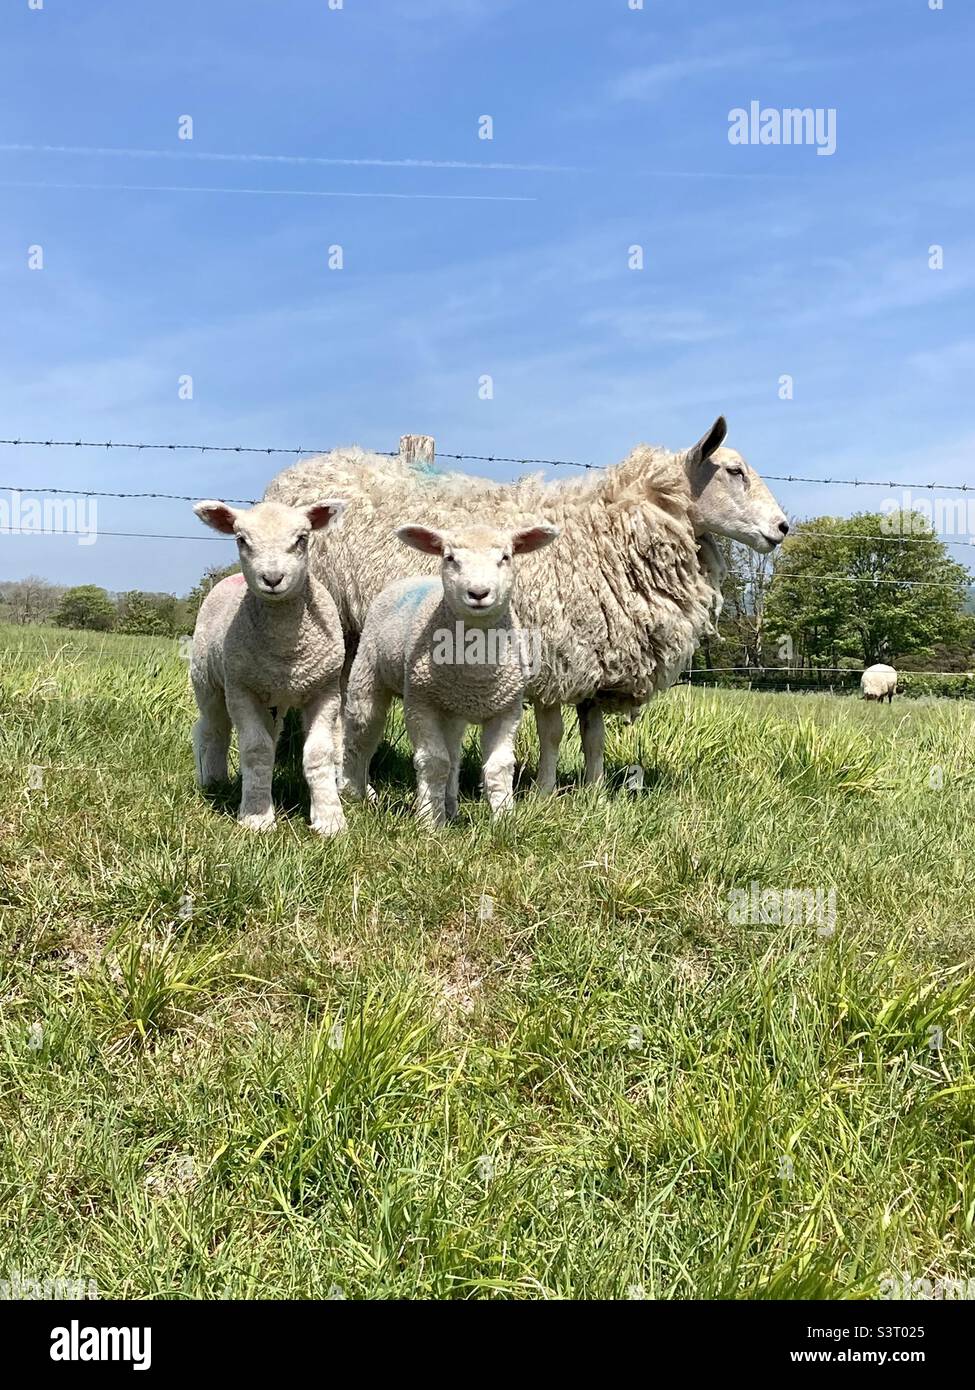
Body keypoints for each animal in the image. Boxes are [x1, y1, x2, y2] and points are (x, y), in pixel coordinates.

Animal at [190, 496, 348, 834]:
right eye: (241, 540)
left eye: (302, 539)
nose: (273, 579)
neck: (285, 651)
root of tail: (231, 578)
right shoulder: (241, 690)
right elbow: (255, 749)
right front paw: (256, 816)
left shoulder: (325, 690)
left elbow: (319, 752)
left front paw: (329, 818)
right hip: (209, 683)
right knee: (212, 730)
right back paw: (213, 779)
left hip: (271, 696)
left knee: (269, 735)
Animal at [265, 416, 789, 792]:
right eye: (734, 471)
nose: (783, 528)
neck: (611, 528)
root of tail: (292, 477)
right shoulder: (553, 657)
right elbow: (552, 733)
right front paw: (545, 793)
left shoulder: (594, 658)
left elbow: (593, 735)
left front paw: (596, 795)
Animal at [343, 520, 559, 825]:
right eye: (450, 558)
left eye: (505, 557)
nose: (478, 593)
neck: (475, 670)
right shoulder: (420, 703)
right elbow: (434, 762)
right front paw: (429, 822)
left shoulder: (507, 708)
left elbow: (499, 766)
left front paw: (504, 819)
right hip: (367, 675)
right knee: (361, 734)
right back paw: (354, 792)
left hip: (451, 709)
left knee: (454, 754)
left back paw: (449, 805)